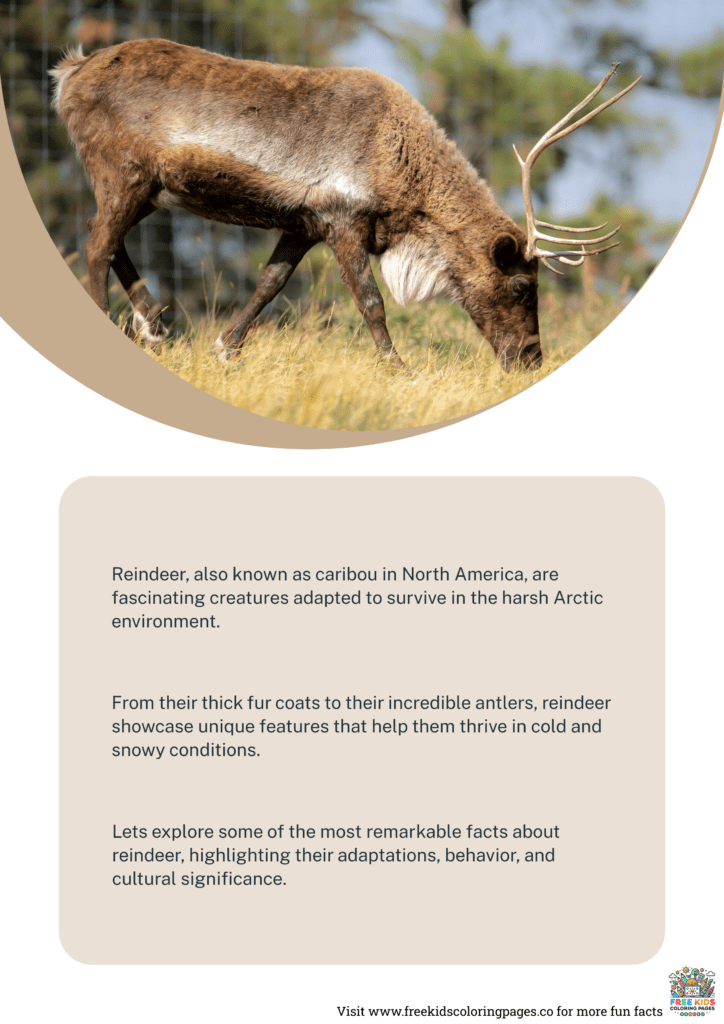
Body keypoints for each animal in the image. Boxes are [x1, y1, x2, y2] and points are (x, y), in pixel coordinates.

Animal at [51, 39, 640, 372]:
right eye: (520, 285)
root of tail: (69, 72)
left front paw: (224, 349)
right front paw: (399, 369)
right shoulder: (344, 220)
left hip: (147, 187)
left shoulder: (303, 223)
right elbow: (372, 303)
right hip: (124, 172)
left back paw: (153, 320)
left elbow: (270, 284)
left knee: (103, 236)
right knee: (97, 244)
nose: (532, 360)